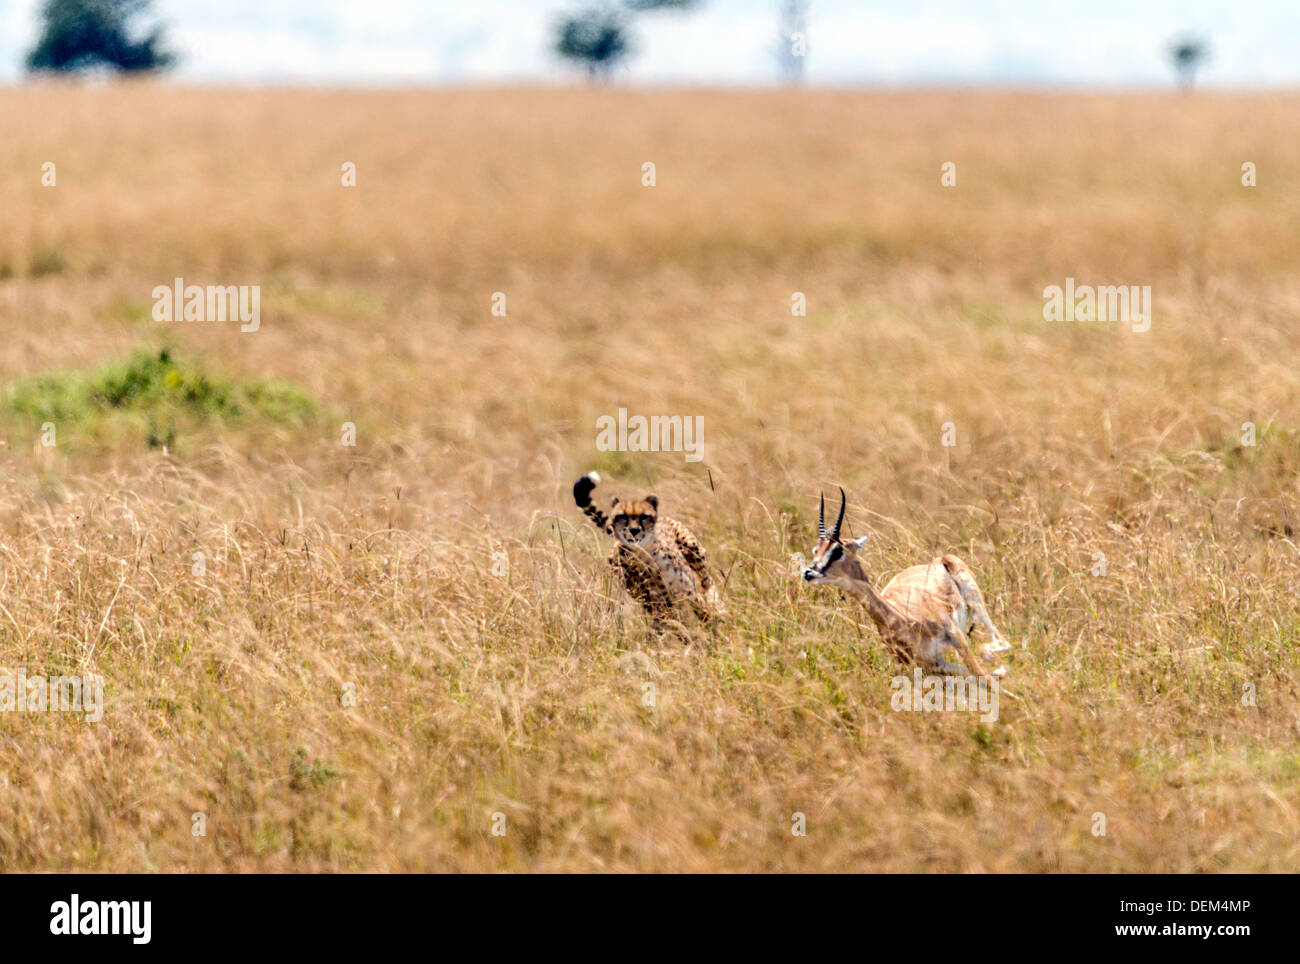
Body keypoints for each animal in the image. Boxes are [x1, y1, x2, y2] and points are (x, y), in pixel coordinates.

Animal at [574, 472, 728, 634]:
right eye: (622, 516)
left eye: (644, 516)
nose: (633, 530)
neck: (648, 555)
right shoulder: (660, 606)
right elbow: (677, 625)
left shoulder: (688, 593)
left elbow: (703, 612)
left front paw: (714, 634)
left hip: (691, 547)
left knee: (706, 580)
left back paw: (717, 604)